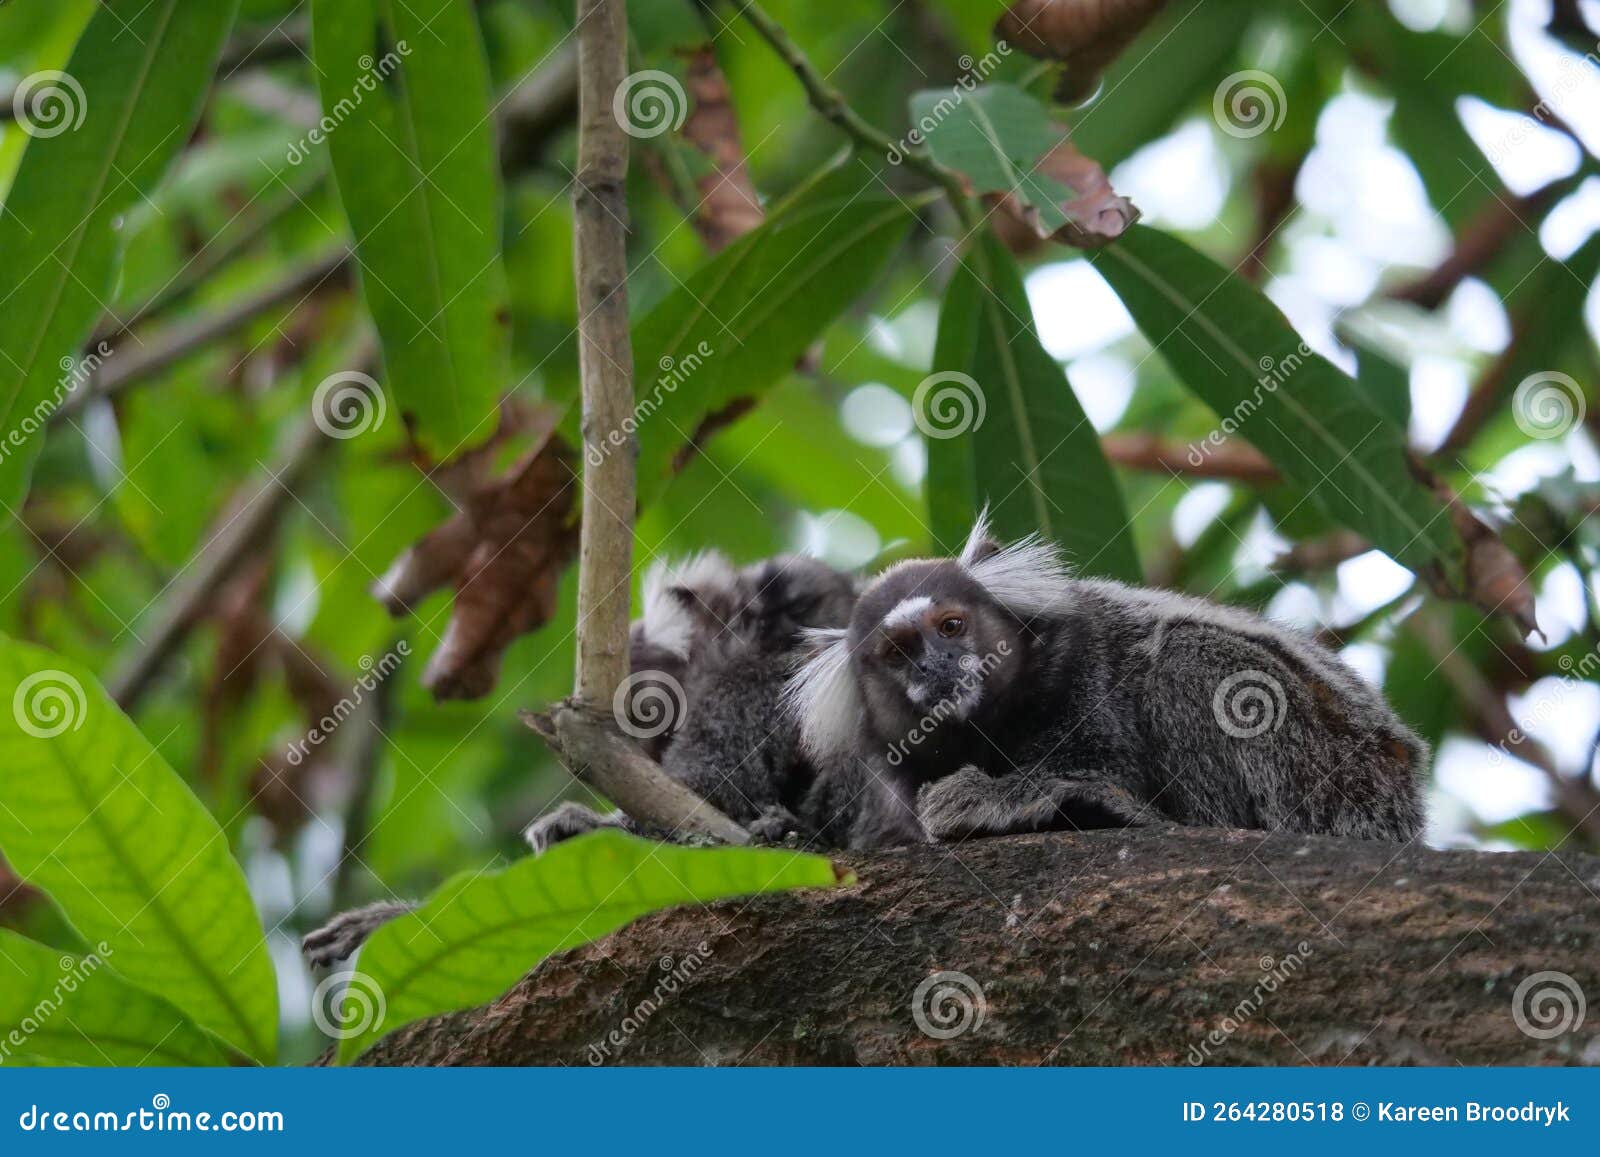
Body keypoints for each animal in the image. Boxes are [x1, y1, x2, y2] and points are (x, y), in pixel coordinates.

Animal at [784, 512, 1428, 851]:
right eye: (898, 654)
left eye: (951, 626)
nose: (935, 667)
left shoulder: (1085, 674)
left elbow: (1100, 763)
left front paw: (990, 798)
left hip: (1331, 767)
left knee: (1190, 661)